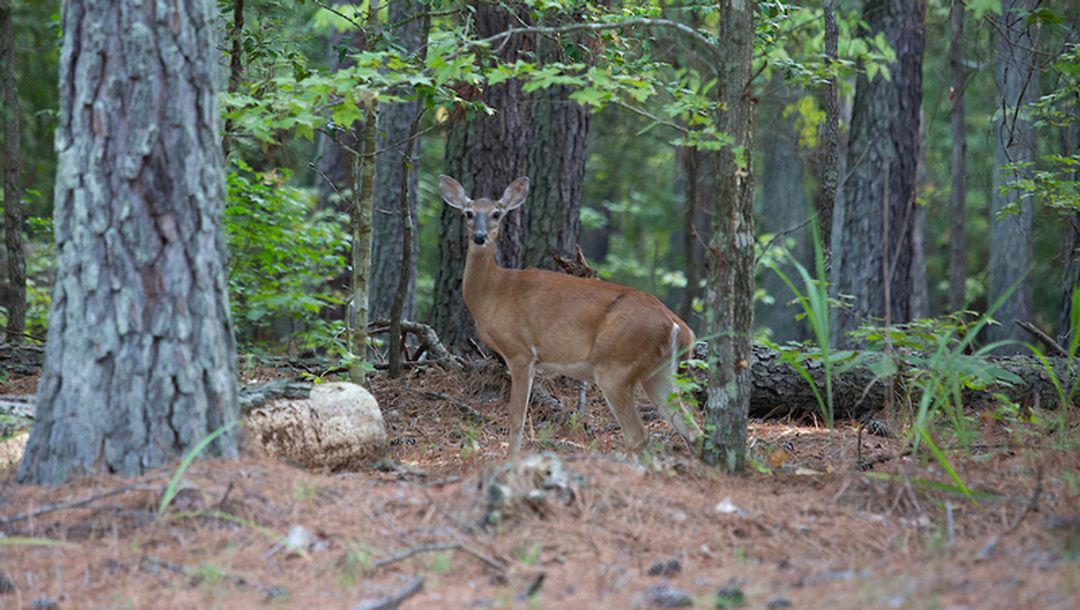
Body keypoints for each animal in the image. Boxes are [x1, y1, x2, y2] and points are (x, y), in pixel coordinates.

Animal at [438, 175, 703, 459]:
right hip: (660, 373)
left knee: (639, 436)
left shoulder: (520, 351)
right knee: (693, 432)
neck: (494, 291)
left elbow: (516, 418)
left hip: (616, 365)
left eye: (496, 214)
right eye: (468, 213)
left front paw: (510, 461)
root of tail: (679, 326)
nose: (479, 236)